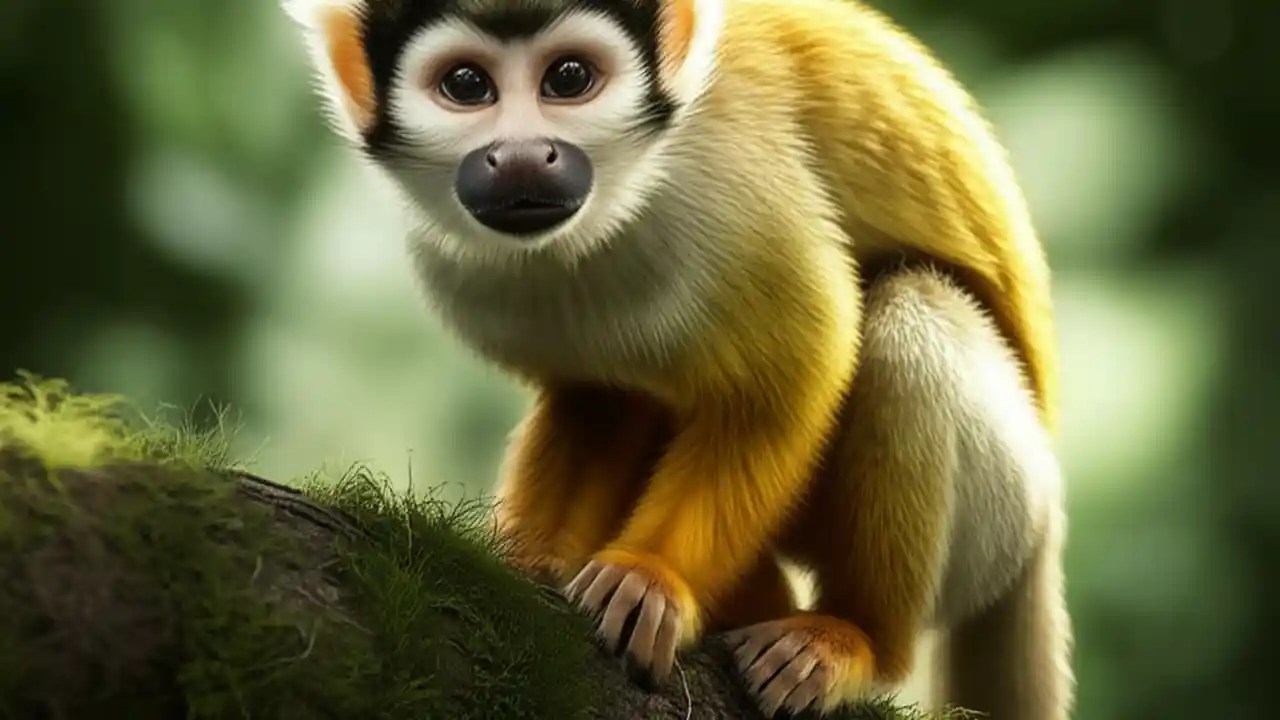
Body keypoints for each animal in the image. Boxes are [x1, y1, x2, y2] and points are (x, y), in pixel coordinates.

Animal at [281, 0, 1074, 718]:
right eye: (467, 86)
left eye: (570, 78)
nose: (523, 156)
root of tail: (1044, 530)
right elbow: (602, 400)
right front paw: (528, 567)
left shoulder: (730, 192)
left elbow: (795, 368)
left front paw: (651, 576)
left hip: (1001, 510)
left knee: (909, 315)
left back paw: (858, 636)